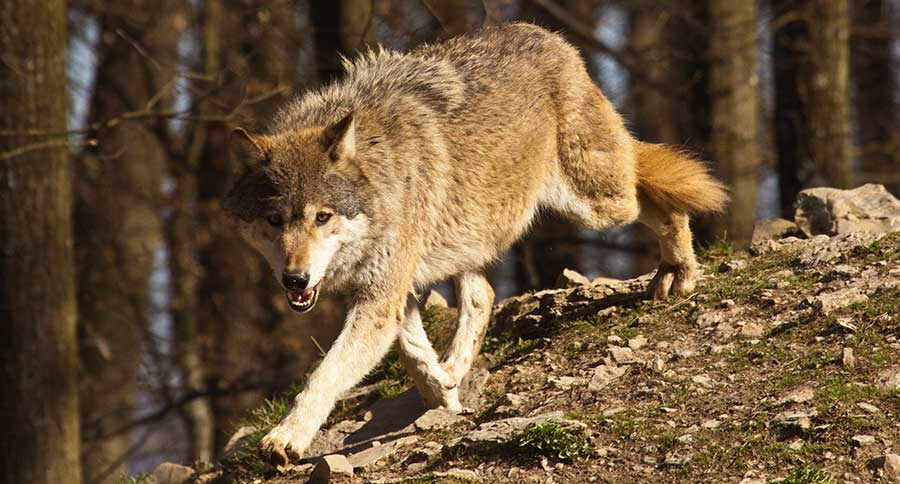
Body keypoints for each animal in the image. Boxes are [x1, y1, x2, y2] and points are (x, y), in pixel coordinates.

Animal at [224, 23, 727, 464]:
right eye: (275, 220)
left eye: (322, 217)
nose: (295, 279)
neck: (380, 172)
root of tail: (547, 36)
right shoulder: (385, 290)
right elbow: (413, 352)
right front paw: (442, 390)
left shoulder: (381, 294)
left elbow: (324, 375)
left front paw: (287, 437)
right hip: (474, 234)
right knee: (483, 295)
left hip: (597, 203)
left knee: (653, 192)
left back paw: (678, 271)